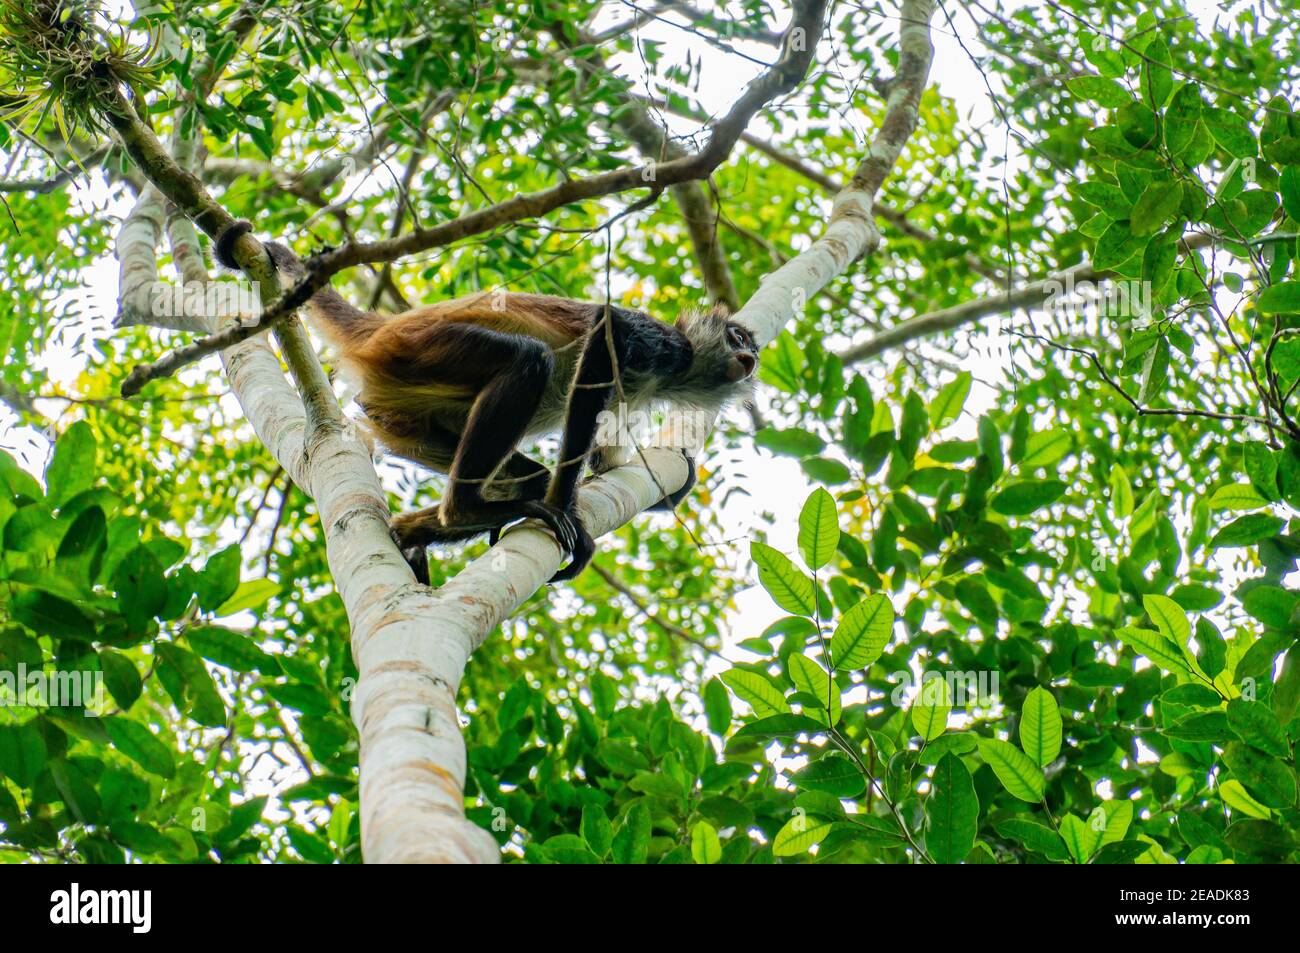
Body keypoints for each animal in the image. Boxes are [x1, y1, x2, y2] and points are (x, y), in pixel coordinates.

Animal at [214, 222, 760, 584]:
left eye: (752, 347)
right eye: (738, 338)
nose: (752, 358)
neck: (672, 375)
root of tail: (383, 327)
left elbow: (607, 465)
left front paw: (678, 480)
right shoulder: (663, 343)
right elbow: (609, 331)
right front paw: (565, 508)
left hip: (405, 423)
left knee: (526, 472)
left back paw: (413, 532)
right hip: (421, 352)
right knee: (528, 360)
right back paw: (463, 512)